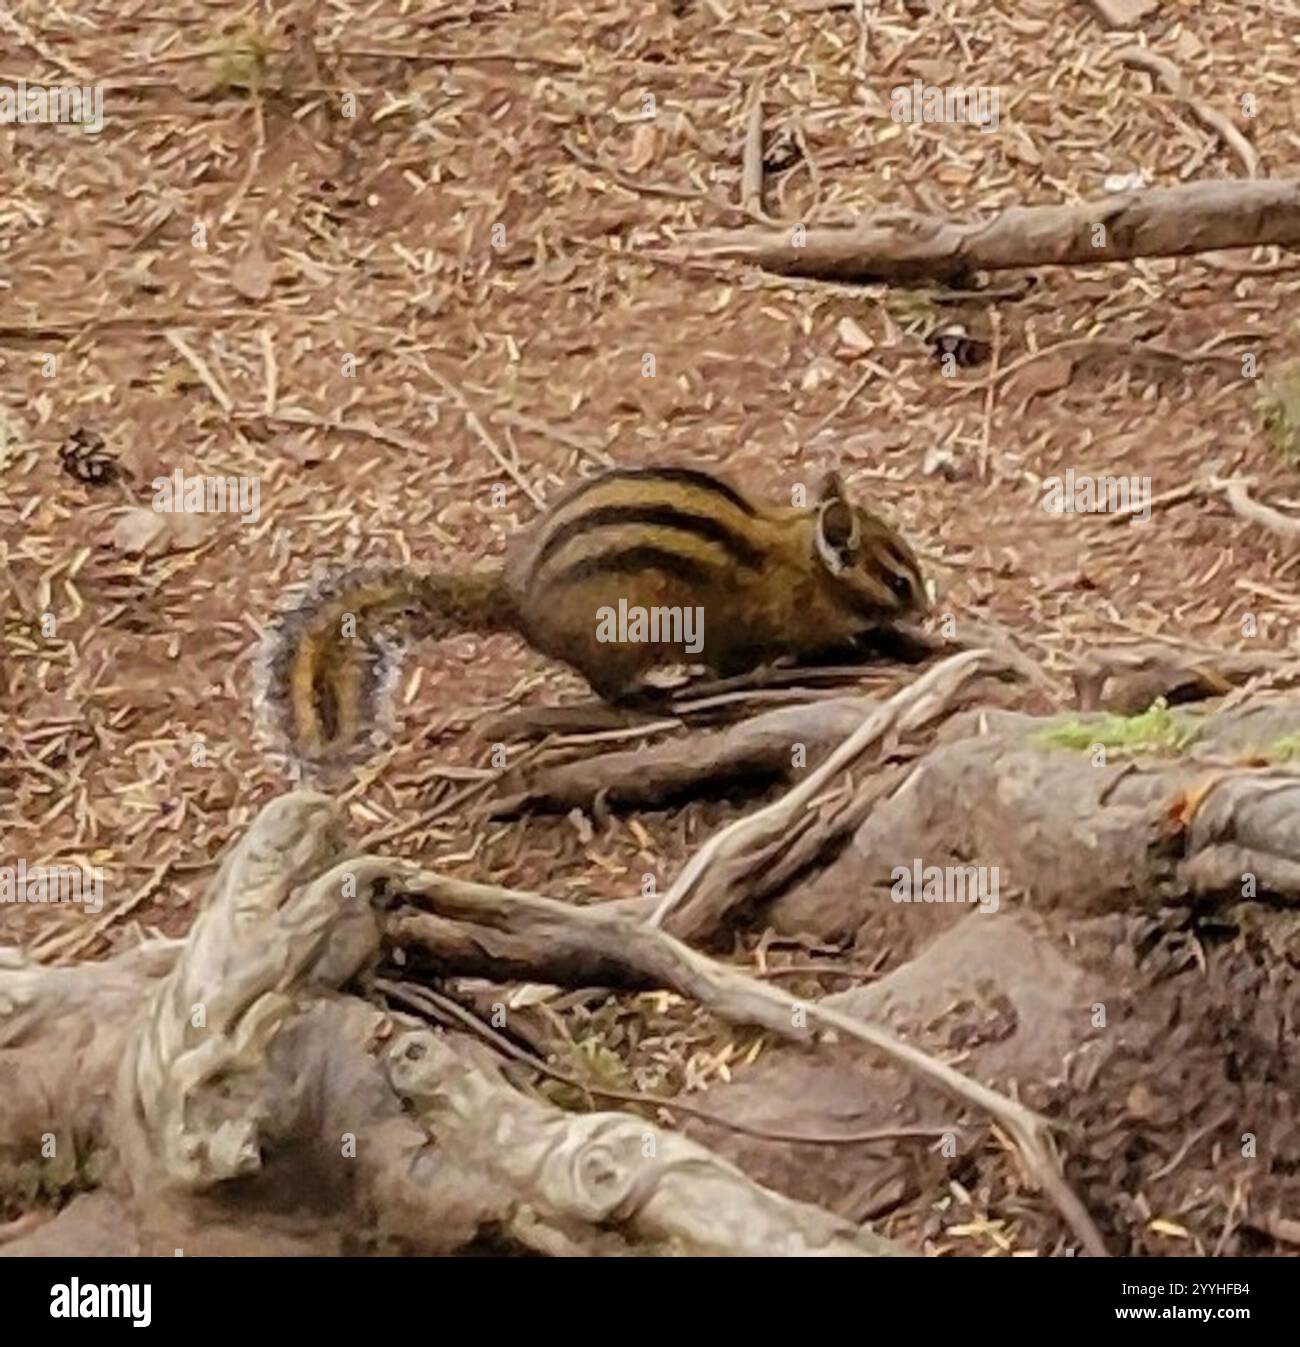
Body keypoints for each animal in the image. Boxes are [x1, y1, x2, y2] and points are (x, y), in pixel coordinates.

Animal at [260, 465, 929, 760]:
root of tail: (515, 596)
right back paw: (649, 698)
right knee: (608, 688)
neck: (794, 558)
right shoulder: (746, 629)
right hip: (620, 636)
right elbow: (739, 660)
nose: (927, 607)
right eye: (899, 581)